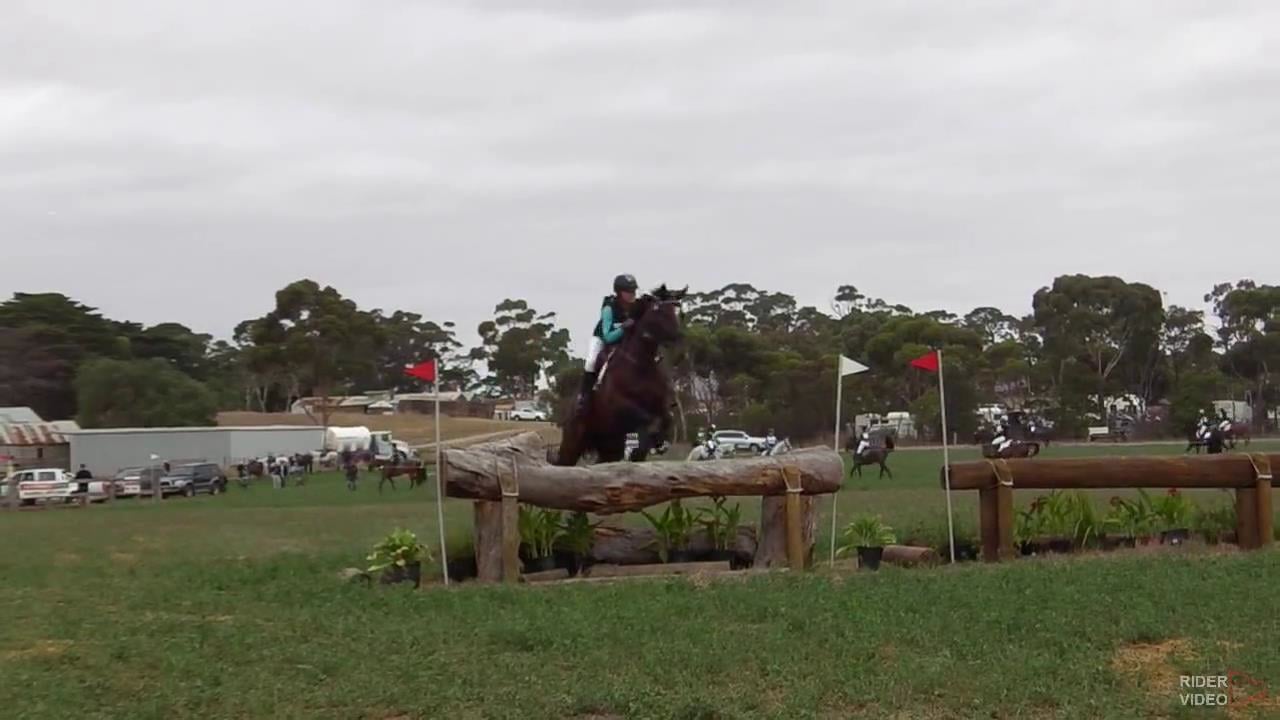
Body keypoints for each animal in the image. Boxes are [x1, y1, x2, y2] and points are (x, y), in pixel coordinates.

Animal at [554, 285, 687, 466]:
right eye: (660, 312)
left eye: (678, 314)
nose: (680, 352)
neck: (641, 364)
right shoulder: (620, 406)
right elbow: (646, 418)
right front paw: (650, 441)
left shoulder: (660, 403)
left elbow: (668, 417)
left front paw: (659, 442)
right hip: (574, 441)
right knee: (564, 461)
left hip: (610, 447)